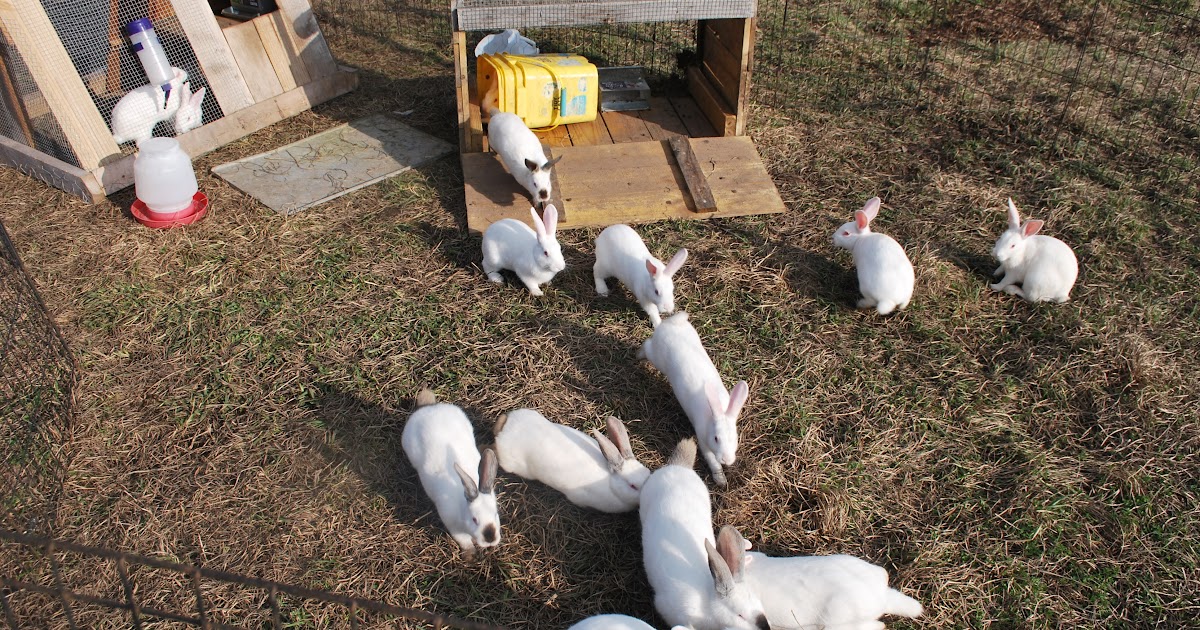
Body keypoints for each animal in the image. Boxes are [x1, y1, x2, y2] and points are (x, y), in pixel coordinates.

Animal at [400, 389, 501, 560]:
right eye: (474, 519)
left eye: (495, 514)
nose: (490, 538)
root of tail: (429, 407)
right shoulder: (454, 528)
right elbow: (465, 543)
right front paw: (470, 557)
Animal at [638, 312, 749, 487]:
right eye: (716, 438)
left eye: (734, 438)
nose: (727, 459)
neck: (716, 414)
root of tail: (671, 323)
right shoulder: (703, 441)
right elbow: (712, 462)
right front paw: (720, 479)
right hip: (657, 357)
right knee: (647, 346)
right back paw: (638, 355)